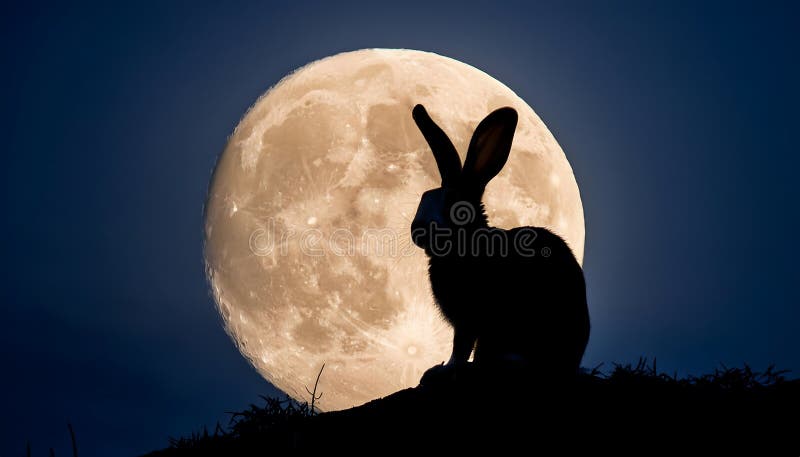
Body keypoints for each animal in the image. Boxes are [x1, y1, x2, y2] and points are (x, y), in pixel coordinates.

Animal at [410, 104, 590, 382]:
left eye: (456, 207)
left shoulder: (470, 318)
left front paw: (446, 369)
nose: (417, 231)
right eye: (423, 198)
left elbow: (460, 347)